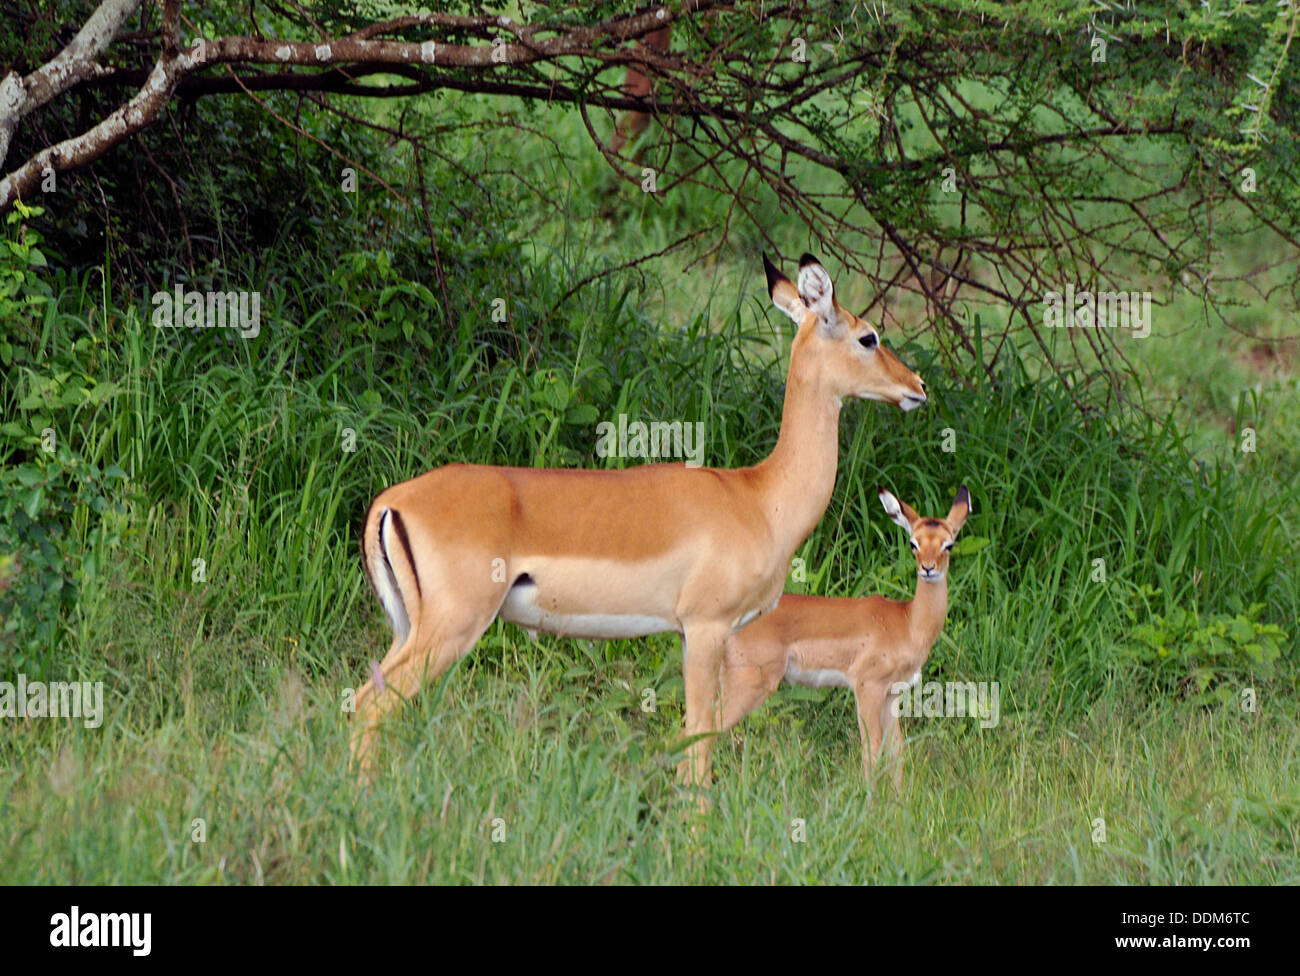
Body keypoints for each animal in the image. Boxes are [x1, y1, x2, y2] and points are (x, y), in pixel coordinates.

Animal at [351, 254, 927, 802]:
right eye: (868, 336)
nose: (917, 386)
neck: (759, 498)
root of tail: (391, 501)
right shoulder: (706, 627)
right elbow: (699, 738)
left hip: (409, 626)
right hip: (452, 626)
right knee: (372, 704)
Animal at [719, 486, 970, 789]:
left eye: (949, 544)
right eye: (913, 543)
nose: (928, 568)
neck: (908, 623)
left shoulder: (893, 693)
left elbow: (896, 751)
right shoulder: (867, 687)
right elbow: (871, 750)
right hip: (749, 685)